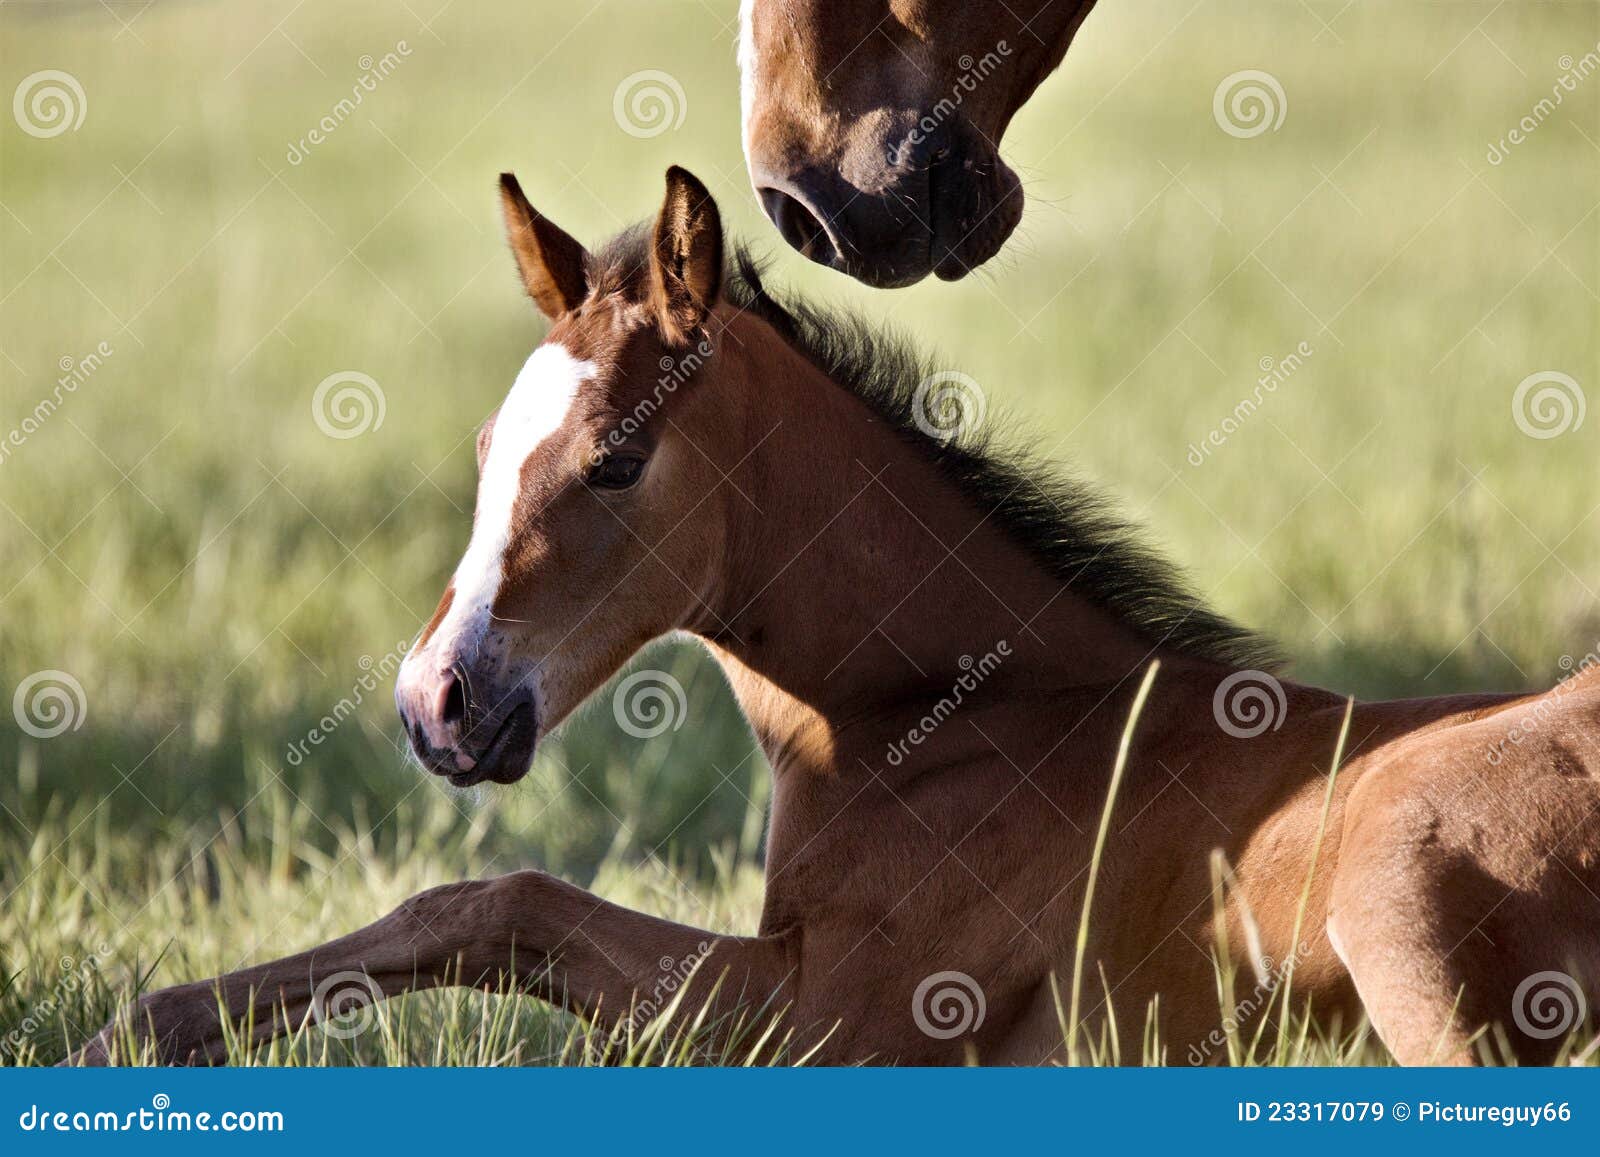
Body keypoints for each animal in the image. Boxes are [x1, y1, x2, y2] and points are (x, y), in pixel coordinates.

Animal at [72, 167, 1600, 1066]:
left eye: (615, 458)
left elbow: (508, 899)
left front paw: (143, 1024)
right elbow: (477, 904)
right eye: (488, 450)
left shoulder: (834, 1016)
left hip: (1395, 889)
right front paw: (152, 1018)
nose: (436, 704)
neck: (947, 723)